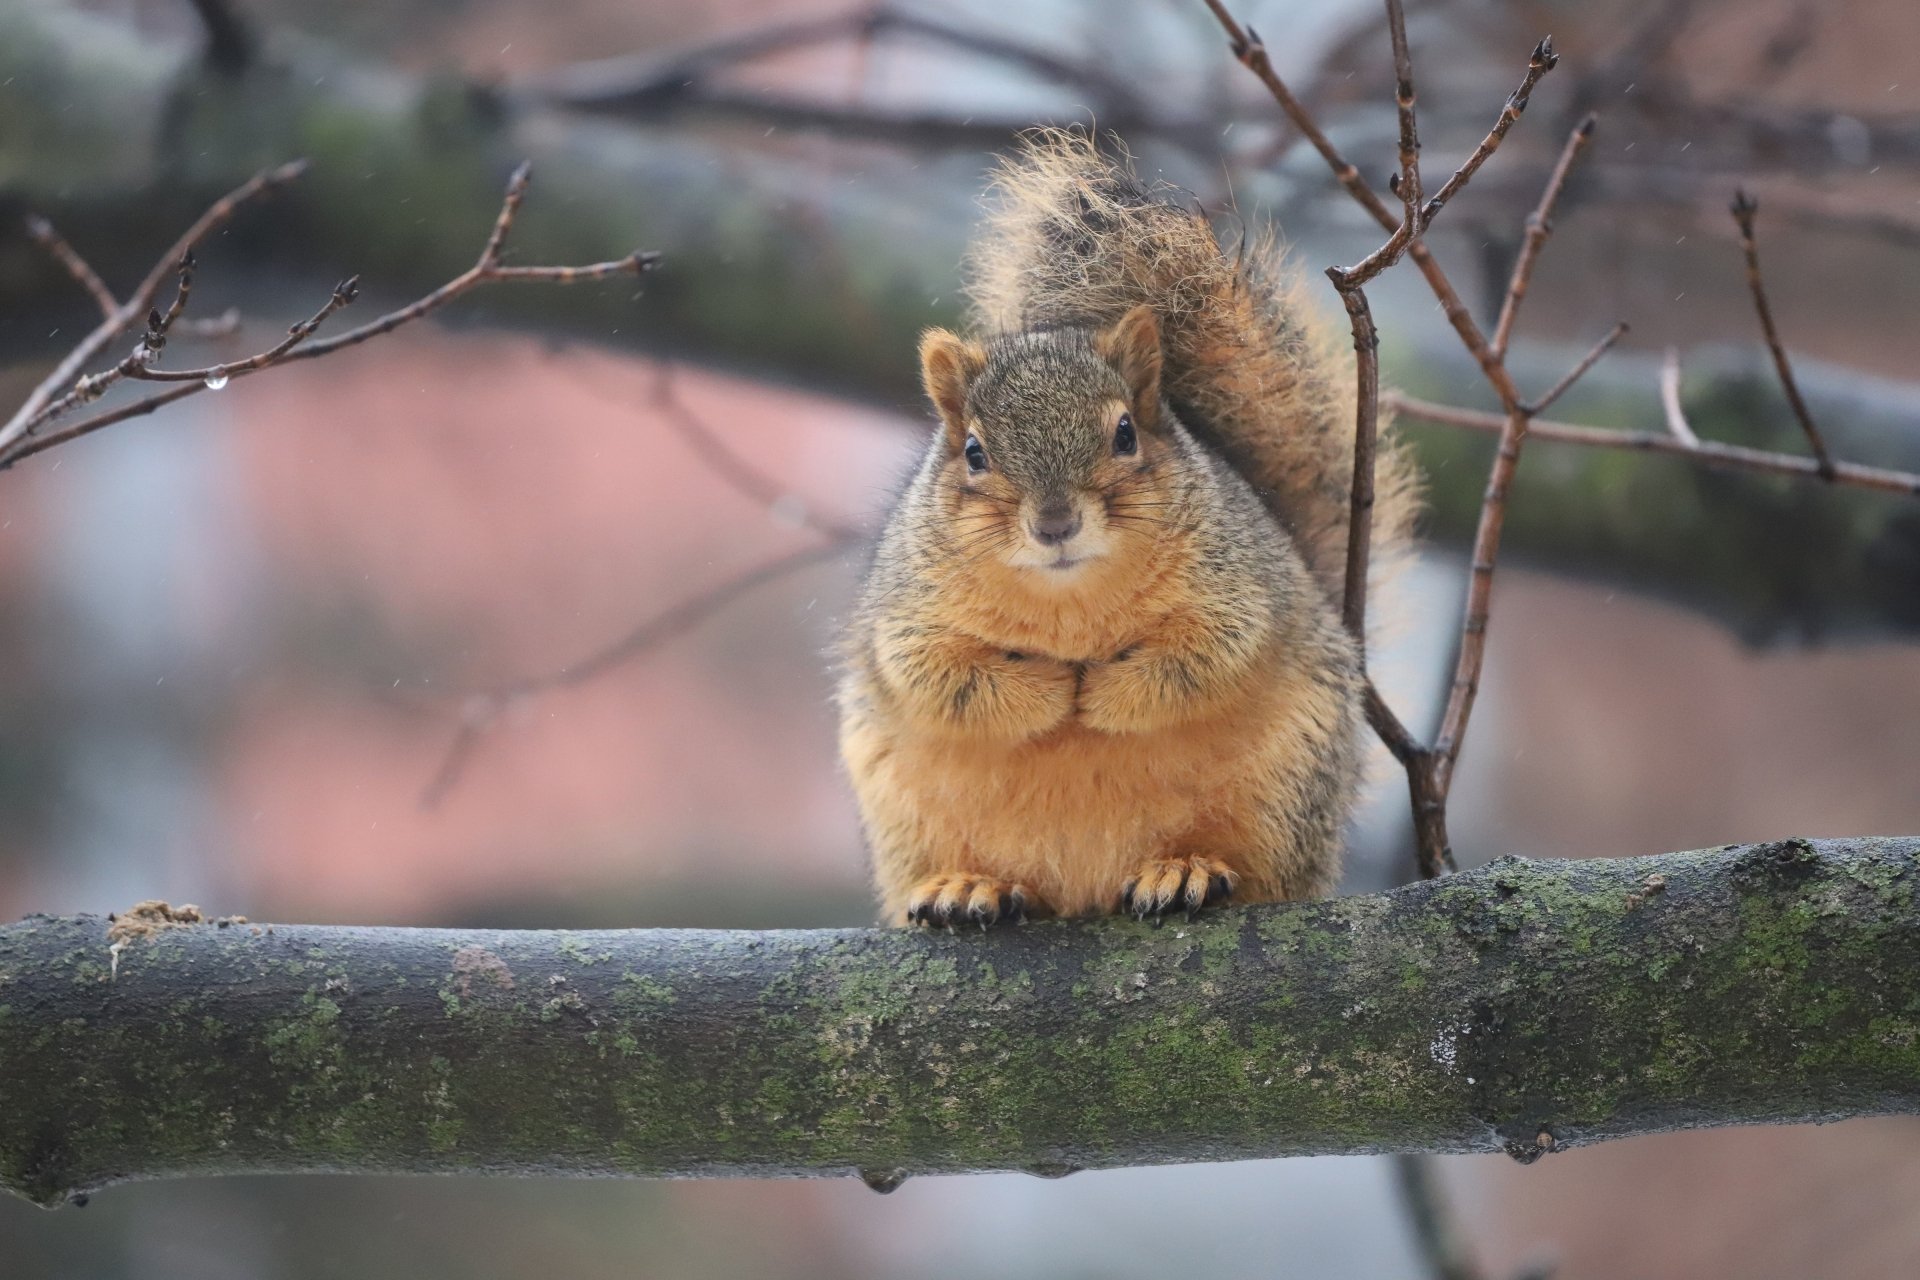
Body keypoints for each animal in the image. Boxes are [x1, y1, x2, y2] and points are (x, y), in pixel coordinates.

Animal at [837, 129, 1422, 927]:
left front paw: (1099, 695)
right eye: (975, 452)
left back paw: (1184, 872)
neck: (1068, 602)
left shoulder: (1238, 586)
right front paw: (1054, 692)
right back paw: (969, 888)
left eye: (1124, 435)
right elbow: (941, 677)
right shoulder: (909, 611)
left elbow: (1202, 659)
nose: (1055, 523)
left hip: (1285, 797)